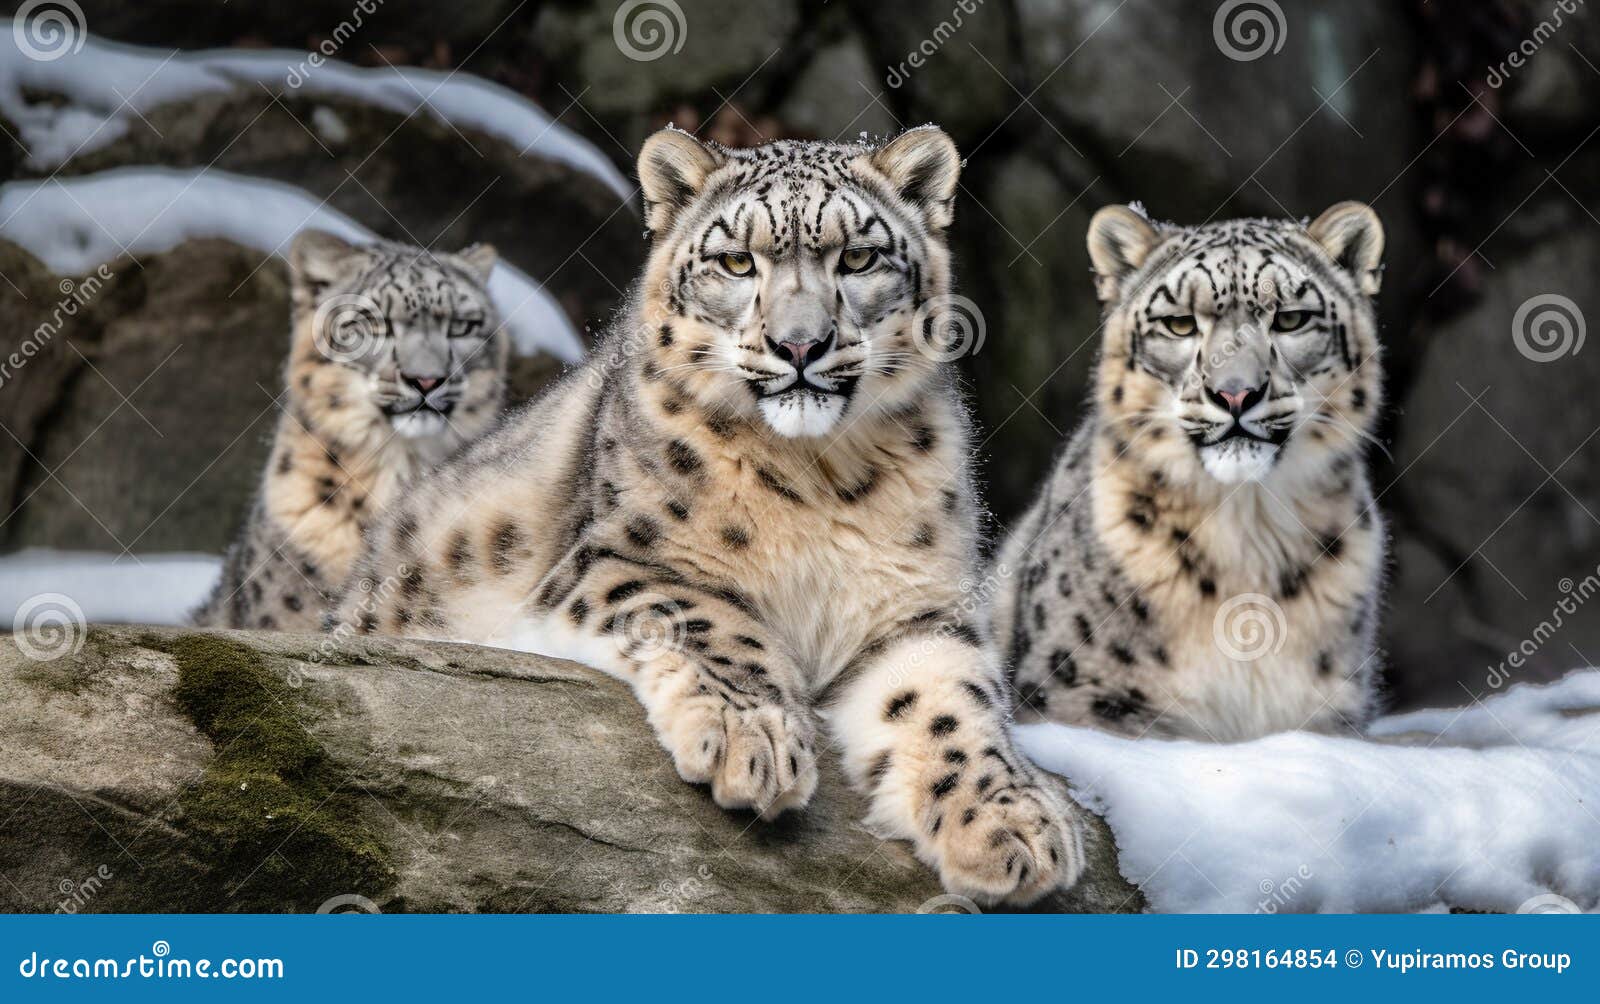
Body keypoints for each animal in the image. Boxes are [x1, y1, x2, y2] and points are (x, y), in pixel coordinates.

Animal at [330, 127, 1085, 906]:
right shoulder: (618, 558)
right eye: (736, 260)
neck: (818, 480)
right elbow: (705, 614)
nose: (800, 344)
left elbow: (950, 702)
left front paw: (1009, 823)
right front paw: (747, 736)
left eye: (858, 257)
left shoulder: (913, 608)